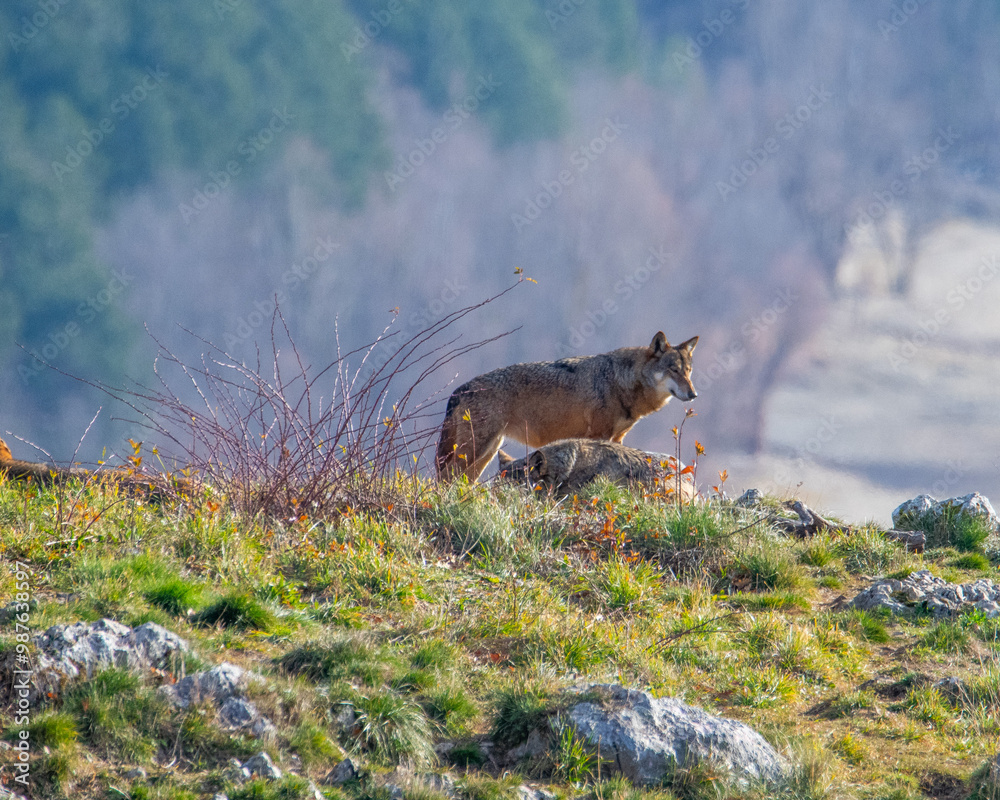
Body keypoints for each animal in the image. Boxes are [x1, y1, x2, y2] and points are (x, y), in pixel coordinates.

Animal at [436, 332, 698, 481]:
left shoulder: (619, 438)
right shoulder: (599, 435)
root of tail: (460, 389)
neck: (620, 381)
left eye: (688, 371)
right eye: (673, 370)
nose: (693, 394)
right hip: (475, 450)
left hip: (487, 452)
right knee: (447, 477)